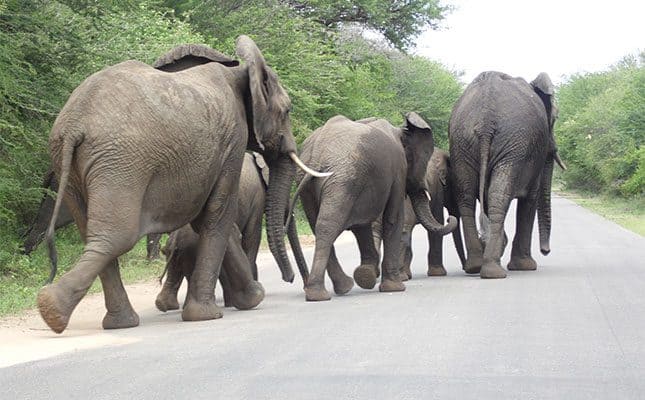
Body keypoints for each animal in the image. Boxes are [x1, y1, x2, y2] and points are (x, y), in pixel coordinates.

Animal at [372, 148, 466, 280]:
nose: (465, 267)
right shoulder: (436, 188)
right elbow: (438, 221)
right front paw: (437, 274)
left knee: (376, 230)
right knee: (402, 231)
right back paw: (400, 277)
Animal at [449, 71, 566, 279]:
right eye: (555, 118)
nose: (546, 251)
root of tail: (486, 119)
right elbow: (531, 197)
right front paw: (525, 266)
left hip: (461, 142)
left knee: (466, 197)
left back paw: (475, 266)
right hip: (514, 144)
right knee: (498, 195)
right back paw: (493, 271)